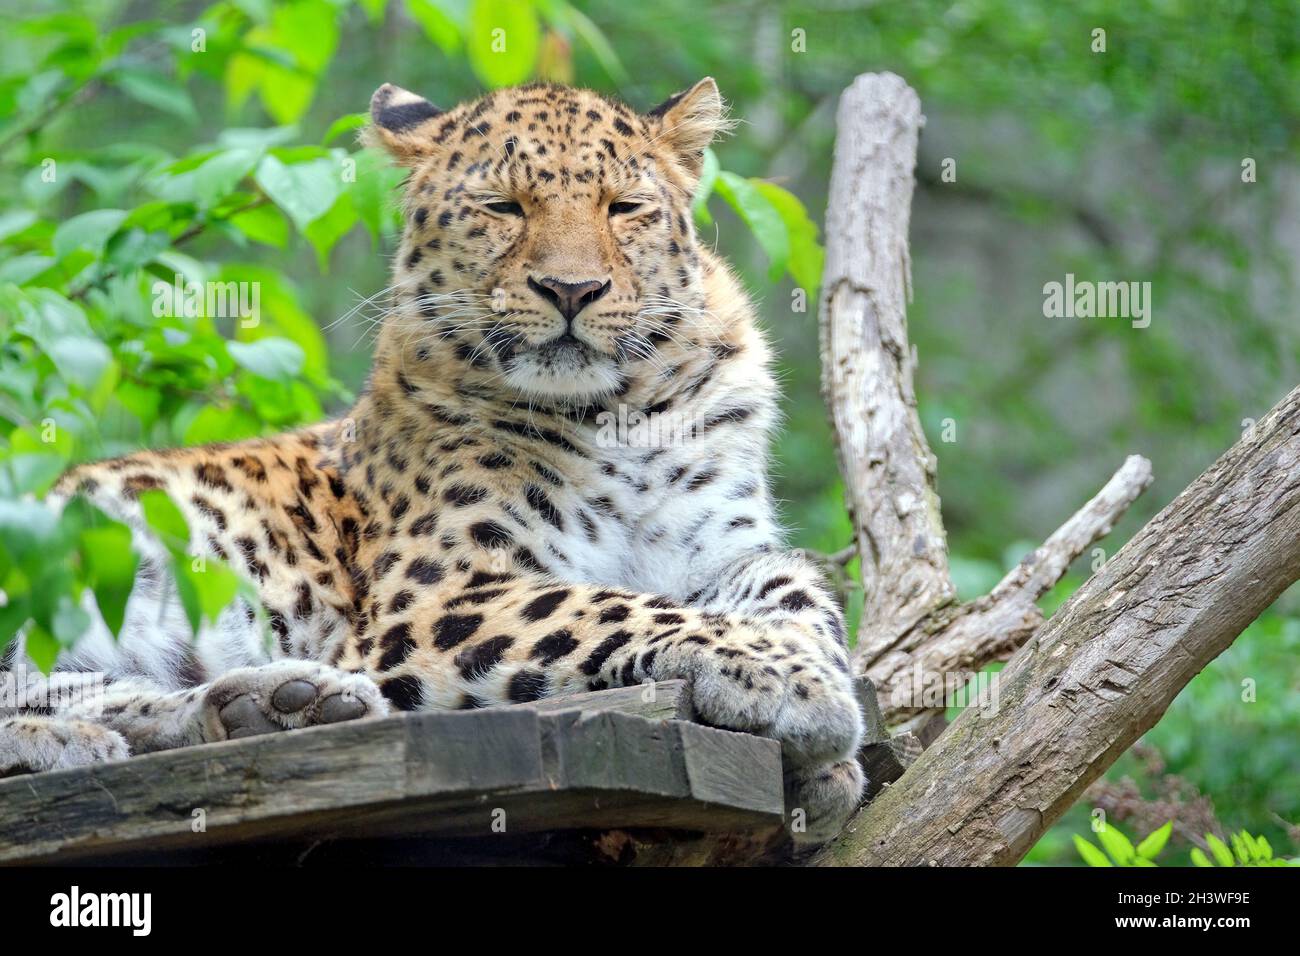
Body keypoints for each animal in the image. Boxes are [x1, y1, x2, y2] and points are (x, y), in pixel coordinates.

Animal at [0, 77, 866, 843]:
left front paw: (818, 710)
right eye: (503, 208)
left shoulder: (723, 548)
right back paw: (82, 740)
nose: (571, 290)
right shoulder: (431, 595)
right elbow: (611, 607)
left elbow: (799, 592)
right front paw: (790, 683)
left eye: (624, 208)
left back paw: (273, 705)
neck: (617, 417)